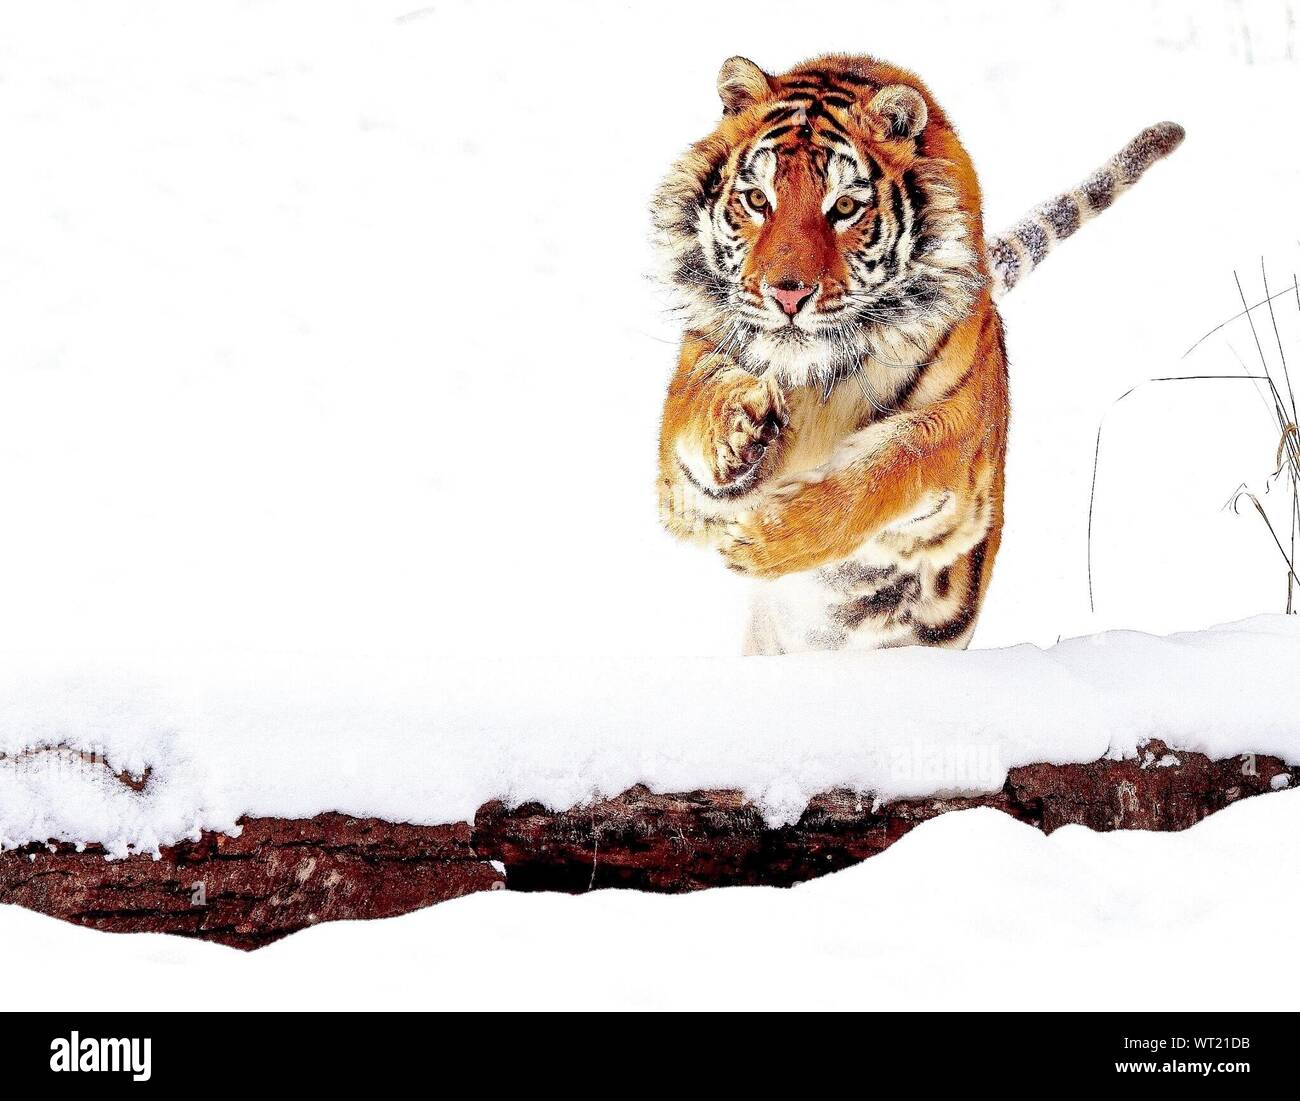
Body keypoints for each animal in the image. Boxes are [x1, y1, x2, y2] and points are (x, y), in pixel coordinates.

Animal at [652, 53, 1184, 655]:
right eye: (758, 200)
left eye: (845, 207)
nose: (786, 294)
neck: (818, 372)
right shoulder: (682, 472)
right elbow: (698, 411)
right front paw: (740, 432)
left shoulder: (961, 457)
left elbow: (896, 463)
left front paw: (764, 541)